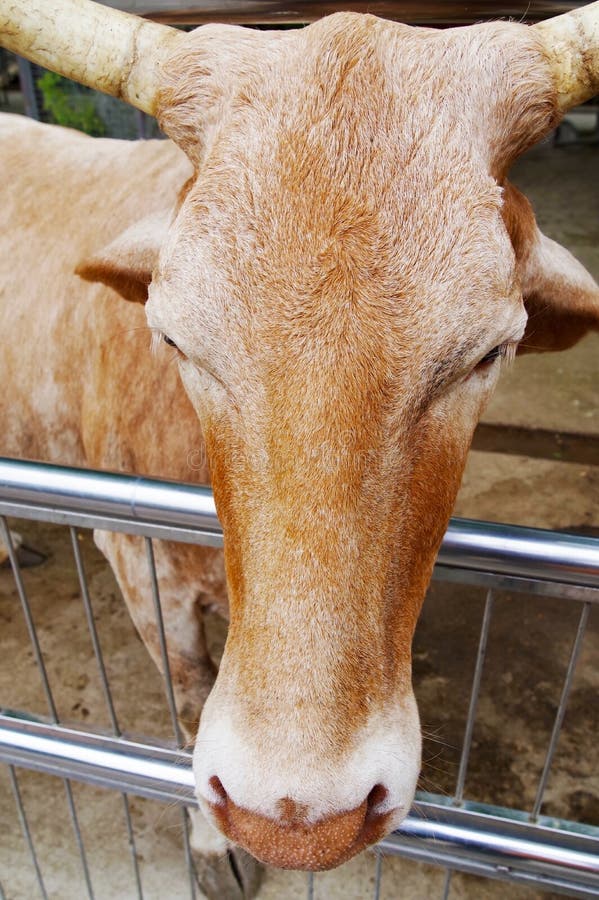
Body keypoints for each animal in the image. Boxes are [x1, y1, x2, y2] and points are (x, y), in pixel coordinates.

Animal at [1, 0, 599, 889]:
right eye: (173, 338)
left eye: (489, 351)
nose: (296, 823)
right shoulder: (138, 567)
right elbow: (186, 701)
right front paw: (213, 846)